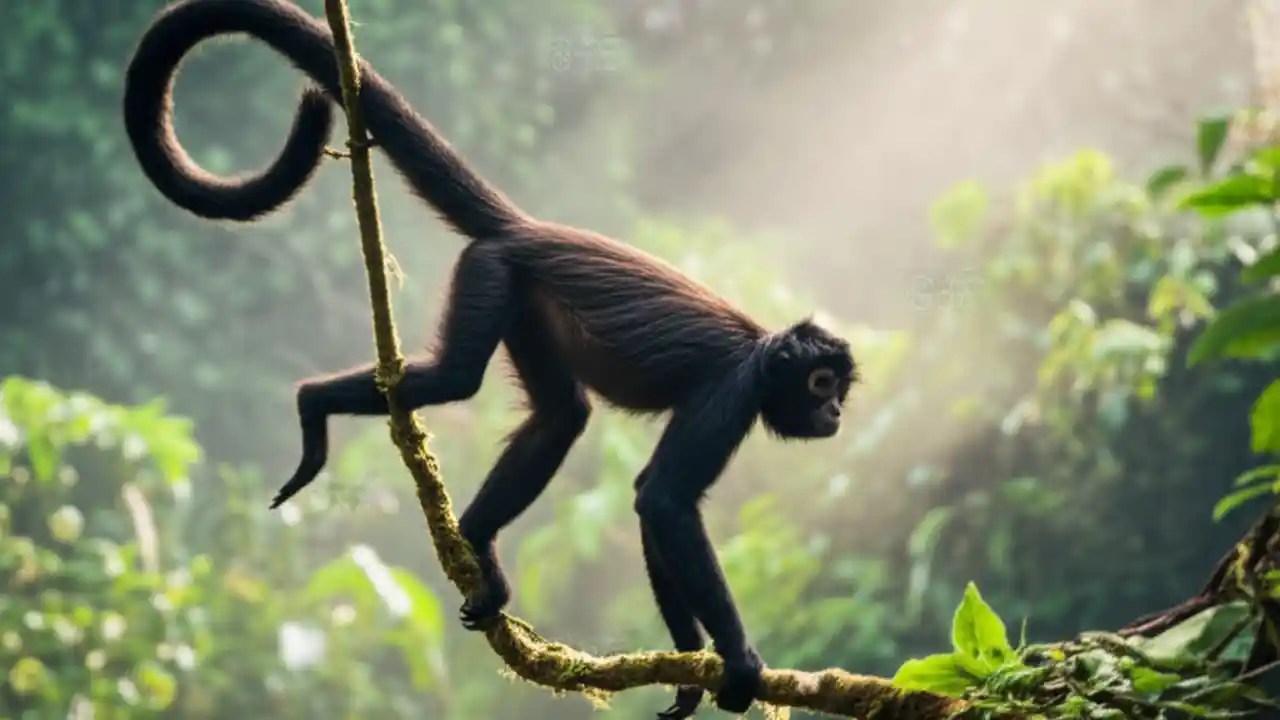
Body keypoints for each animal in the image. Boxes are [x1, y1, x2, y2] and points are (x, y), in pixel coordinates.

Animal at [122, 1, 858, 716]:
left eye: (840, 391)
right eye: (820, 383)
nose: (835, 414)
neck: (762, 354)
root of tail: (525, 229)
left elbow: (649, 496)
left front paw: (686, 671)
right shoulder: (731, 391)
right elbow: (668, 501)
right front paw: (739, 662)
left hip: (522, 300)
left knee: (561, 414)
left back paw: (476, 540)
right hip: (489, 274)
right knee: (457, 379)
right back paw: (315, 405)